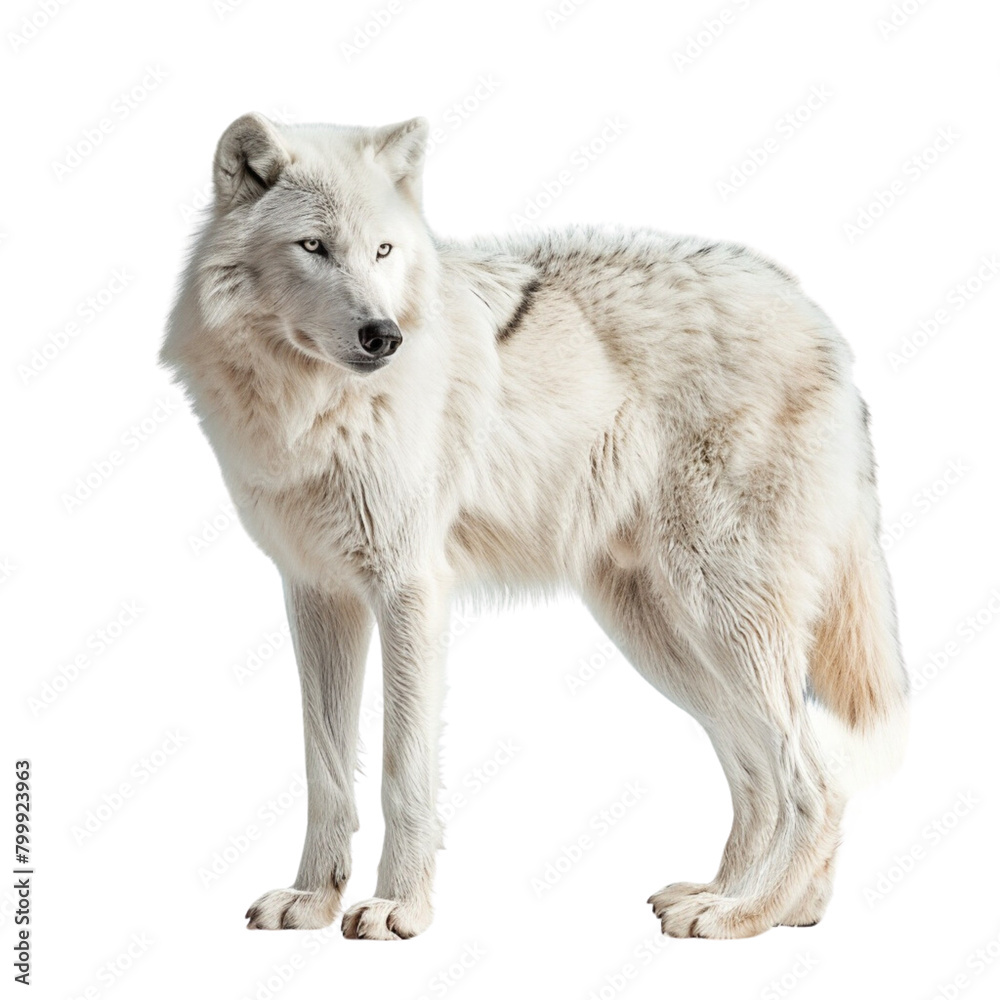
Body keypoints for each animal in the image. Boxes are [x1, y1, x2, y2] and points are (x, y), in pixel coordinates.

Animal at [161, 113, 908, 939]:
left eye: (383, 251)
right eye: (313, 247)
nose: (382, 335)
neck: (314, 410)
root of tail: (819, 319)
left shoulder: (410, 590)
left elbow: (401, 771)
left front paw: (399, 908)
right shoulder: (316, 594)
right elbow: (324, 769)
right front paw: (313, 901)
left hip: (723, 616)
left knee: (817, 778)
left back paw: (743, 915)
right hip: (661, 635)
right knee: (760, 777)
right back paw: (754, 902)